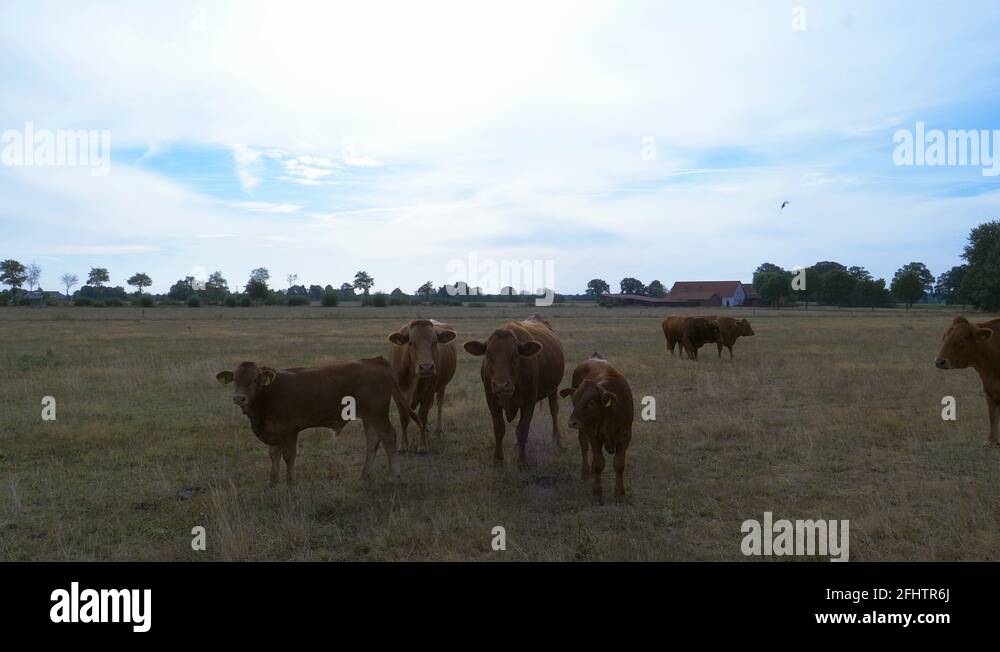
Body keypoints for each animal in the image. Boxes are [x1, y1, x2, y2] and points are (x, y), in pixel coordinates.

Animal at [215, 357, 419, 485]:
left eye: (255, 379)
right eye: (235, 379)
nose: (239, 398)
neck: (268, 394)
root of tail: (373, 360)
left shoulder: (290, 430)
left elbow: (288, 457)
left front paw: (290, 483)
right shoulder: (275, 432)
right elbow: (273, 455)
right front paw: (273, 482)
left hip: (378, 414)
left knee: (389, 436)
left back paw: (395, 475)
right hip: (369, 416)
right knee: (373, 440)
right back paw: (365, 475)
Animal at [387, 319, 457, 454]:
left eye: (435, 341)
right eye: (411, 342)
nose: (426, 367)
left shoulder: (428, 393)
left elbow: (423, 417)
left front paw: (423, 446)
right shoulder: (397, 396)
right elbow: (404, 418)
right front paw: (403, 445)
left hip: (442, 386)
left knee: (439, 404)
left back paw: (438, 429)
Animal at [463, 313, 565, 469]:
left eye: (515, 356)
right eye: (488, 356)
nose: (501, 386)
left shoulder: (529, 402)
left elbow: (522, 430)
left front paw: (522, 462)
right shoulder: (491, 401)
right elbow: (499, 429)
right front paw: (498, 459)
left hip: (553, 389)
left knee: (554, 411)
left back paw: (556, 441)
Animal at [559, 353, 634, 503]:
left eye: (591, 402)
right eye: (574, 399)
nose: (572, 422)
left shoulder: (625, 435)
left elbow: (619, 464)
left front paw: (620, 494)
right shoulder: (594, 435)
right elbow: (600, 463)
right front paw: (597, 494)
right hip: (584, 428)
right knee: (584, 446)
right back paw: (586, 472)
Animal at [934, 316, 1000, 446]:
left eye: (961, 341)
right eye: (945, 338)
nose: (939, 362)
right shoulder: (990, 392)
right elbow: (993, 419)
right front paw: (991, 441)